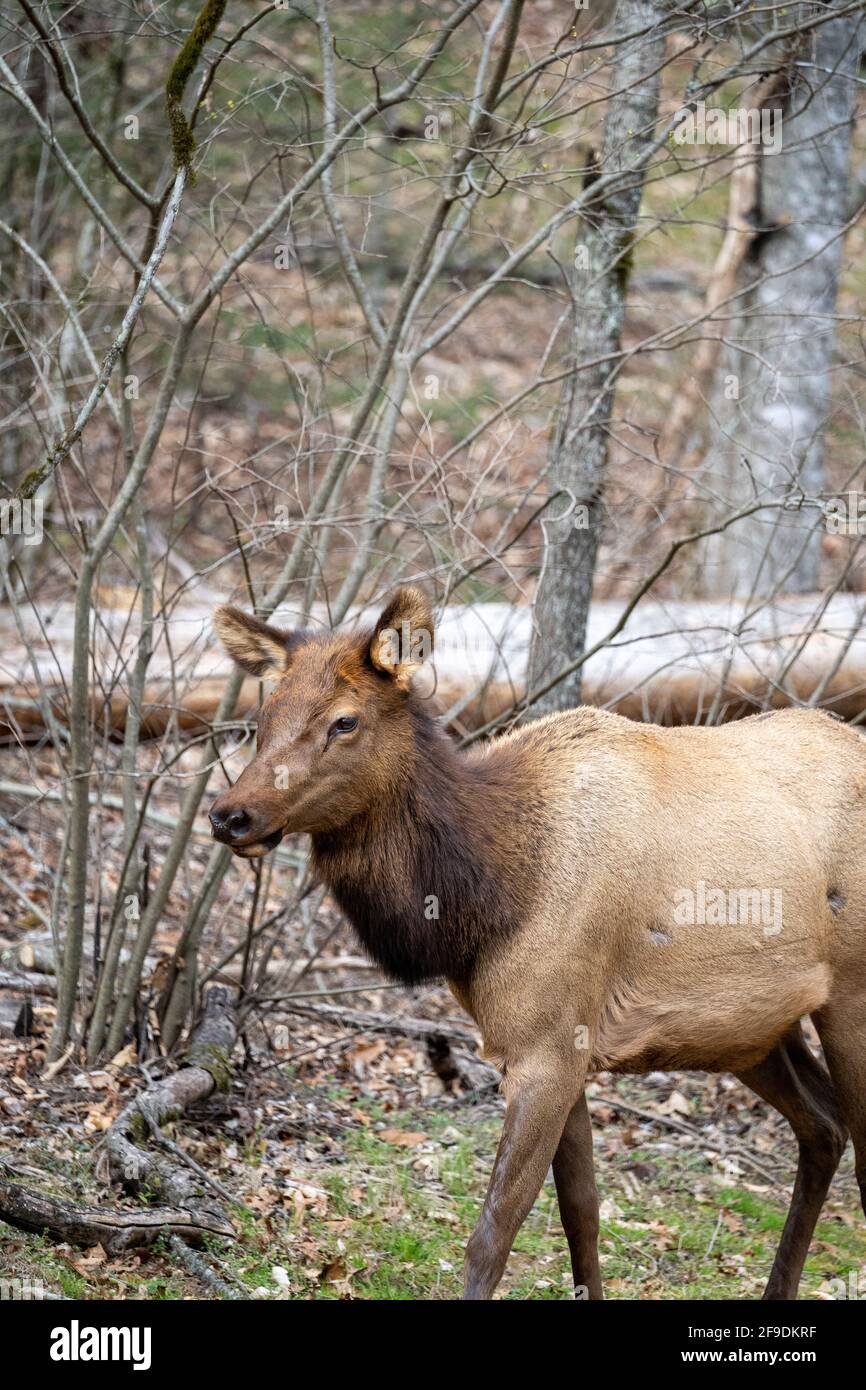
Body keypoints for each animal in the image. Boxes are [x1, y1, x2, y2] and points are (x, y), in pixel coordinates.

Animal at [209, 585, 866, 1300]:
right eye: (263, 712)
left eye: (345, 722)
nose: (230, 815)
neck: (485, 902)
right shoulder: (558, 1036)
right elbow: (581, 1210)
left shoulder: (545, 1049)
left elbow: (495, 1232)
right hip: (753, 1028)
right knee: (825, 1127)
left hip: (851, 995)